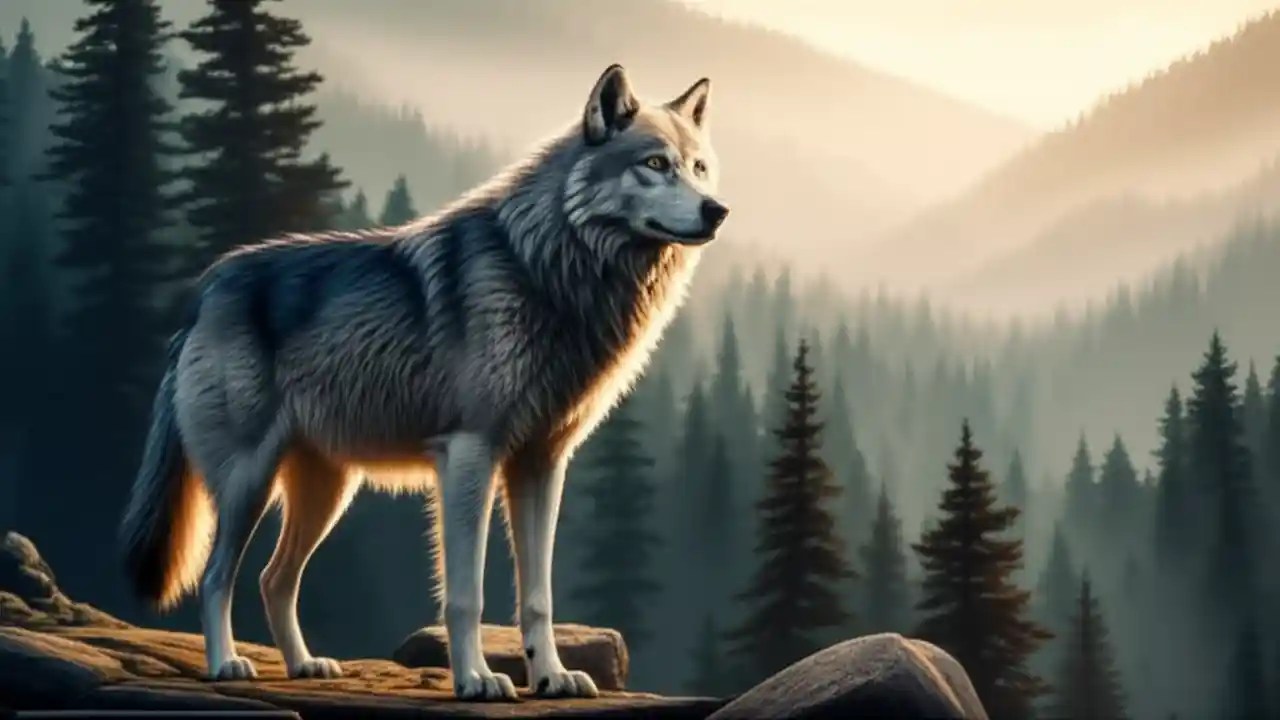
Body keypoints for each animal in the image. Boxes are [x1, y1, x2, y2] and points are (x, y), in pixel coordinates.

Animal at [118, 64, 726, 701]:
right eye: (655, 164)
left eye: (698, 167)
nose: (717, 210)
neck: (549, 268)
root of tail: (205, 289)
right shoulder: (469, 455)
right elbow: (466, 593)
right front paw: (476, 680)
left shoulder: (542, 462)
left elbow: (538, 595)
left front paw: (552, 676)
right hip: (247, 483)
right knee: (217, 576)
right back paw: (226, 665)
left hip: (327, 493)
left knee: (273, 578)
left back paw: (305, 665)